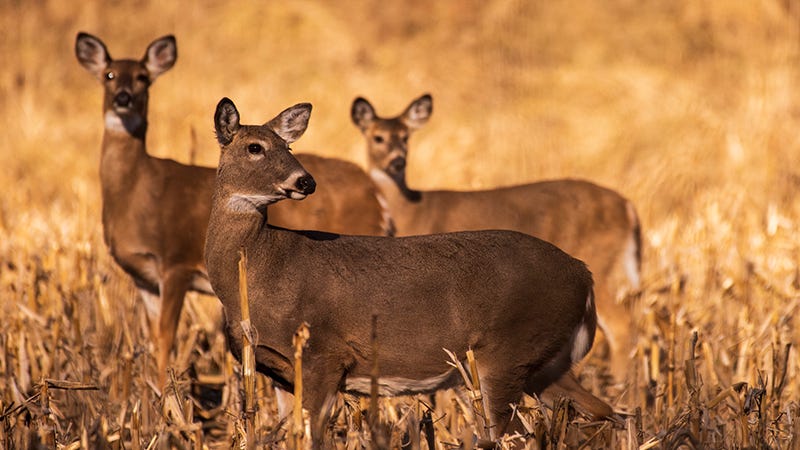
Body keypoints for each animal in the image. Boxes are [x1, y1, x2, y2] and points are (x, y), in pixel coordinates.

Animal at [75, 32, 388, 389]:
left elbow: (167, 339)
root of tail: (375, 193)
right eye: (109, 75)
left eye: (143, 77)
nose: (123, 98)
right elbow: (153, 340)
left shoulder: (177, 262)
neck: (139, 191)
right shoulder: (144, 278)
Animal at [205, 97, 612, 448]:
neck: (265, 266)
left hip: (506, 352)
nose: (306, 181)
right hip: (544, 362)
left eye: (288, 148)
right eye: (255, 147)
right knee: (603, 412)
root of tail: (583, 273)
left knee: (513, 434)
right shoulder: (278, 371)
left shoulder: (325, 353)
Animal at [351, 94, 643, 381]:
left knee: (621, 326)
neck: (410, 210)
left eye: (405, 137)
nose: (397, 162)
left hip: (599, 261)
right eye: (377, 137)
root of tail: (628, 206)